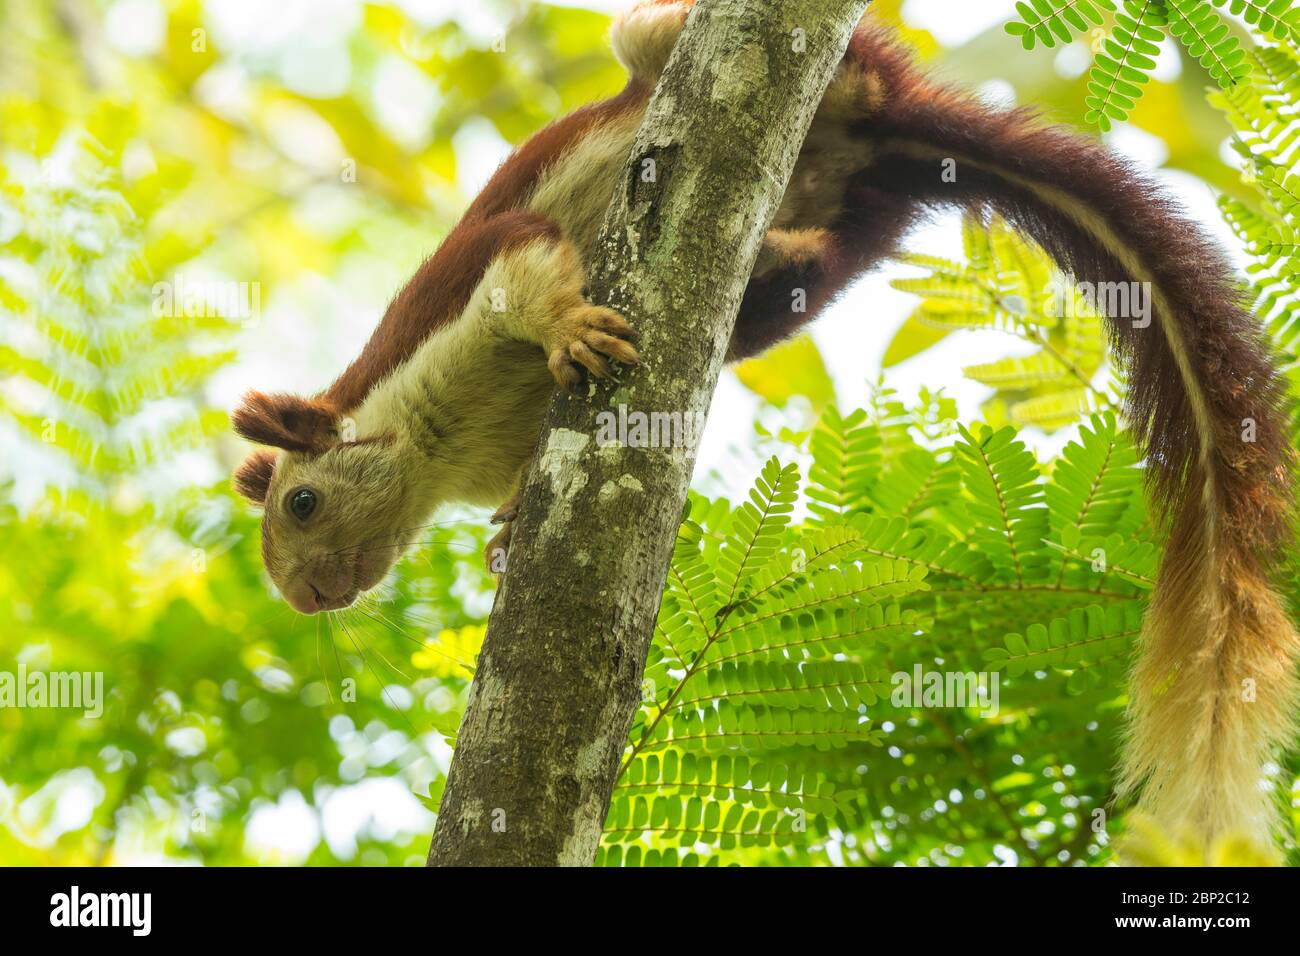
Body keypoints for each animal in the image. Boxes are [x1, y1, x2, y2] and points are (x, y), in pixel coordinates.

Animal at [231, 1, 1298, 852]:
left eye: (302, 502)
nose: (311, 596)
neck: (435, 450)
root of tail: (891, 142)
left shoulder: (472, 292)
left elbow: (528, 272)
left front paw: (566, 330)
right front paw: (503, 534)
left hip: (732, 66)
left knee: (694, 47)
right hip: (855, 225)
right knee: (814, 262)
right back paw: (785, 250)